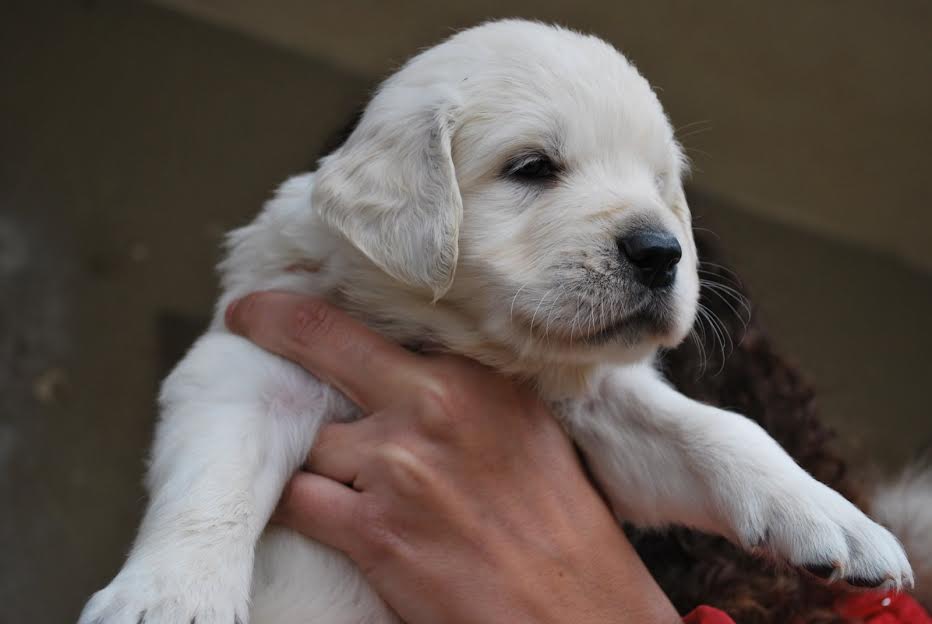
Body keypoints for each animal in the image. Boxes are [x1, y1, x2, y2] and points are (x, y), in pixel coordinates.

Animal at [78, 20, 912, 624]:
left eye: (660, 185)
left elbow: (721, 431)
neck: (458, 340)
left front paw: (838, 521)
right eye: (533, 168)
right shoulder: (250, 368)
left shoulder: (608, 412)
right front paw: (168, 600)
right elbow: (212, 488)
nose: (662, 253)